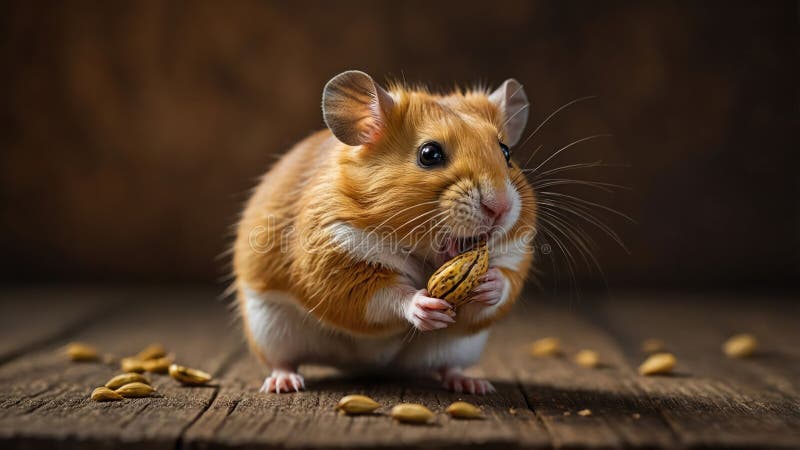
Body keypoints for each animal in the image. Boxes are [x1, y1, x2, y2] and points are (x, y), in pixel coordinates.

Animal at [233, 70, 537, 394]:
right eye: (429, 154)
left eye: (506, 152)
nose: (501, 208)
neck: (421, 252)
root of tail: (372, 366)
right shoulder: (334, 254)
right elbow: (387, 295)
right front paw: (422, 305)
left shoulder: (516, 251)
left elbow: (503, 287)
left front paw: (491, 283)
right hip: (269, 328)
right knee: (283, 360)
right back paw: (283, 382)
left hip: (459, 347)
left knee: (448, 365)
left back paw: (471, 383)